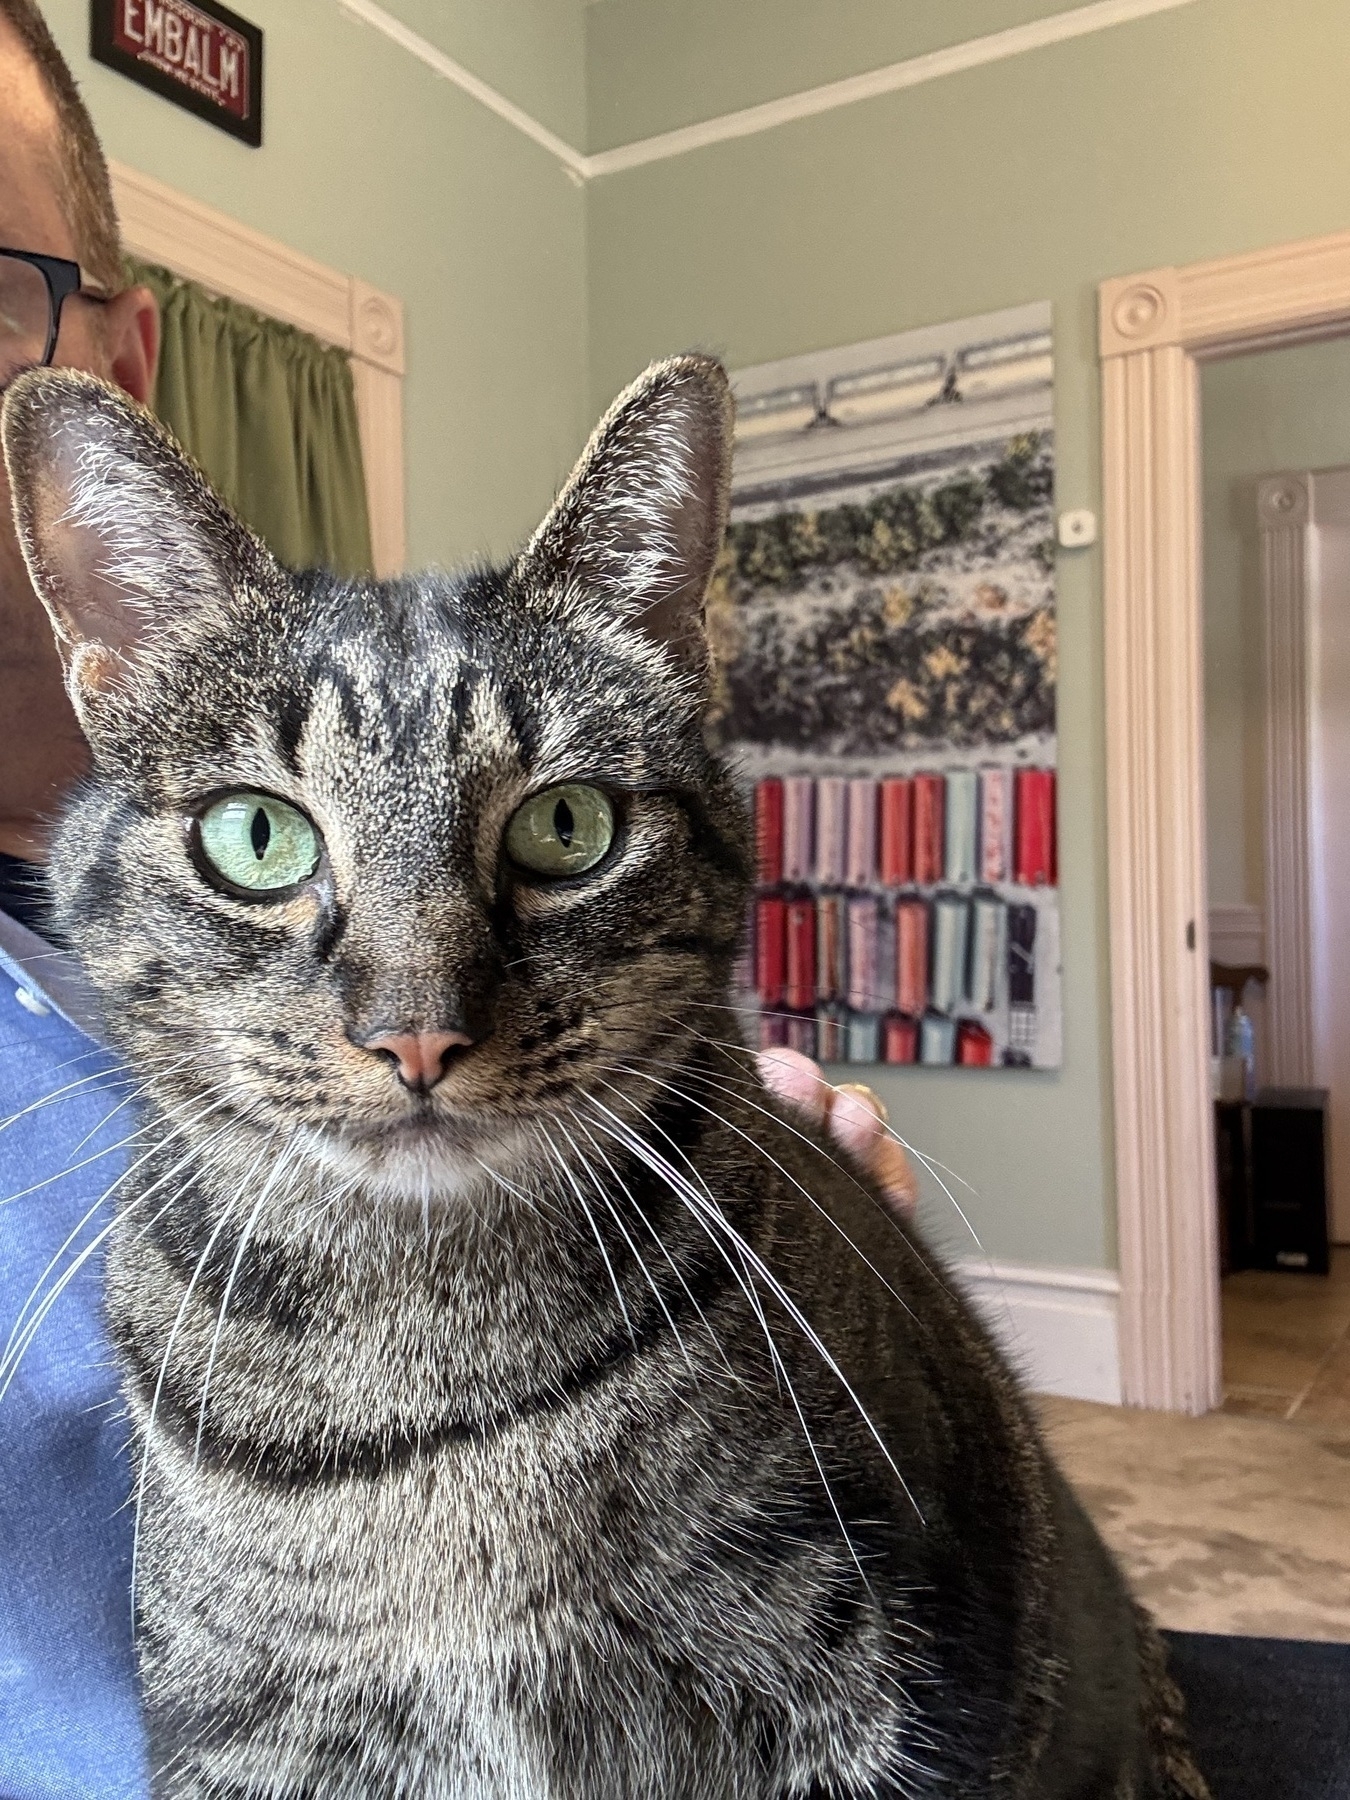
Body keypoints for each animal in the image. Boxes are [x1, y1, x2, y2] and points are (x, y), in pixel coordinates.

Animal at [0, 354, 1202, 1800]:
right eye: (256, 836)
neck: (422, 1378)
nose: (416, 1032)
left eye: (566, 826)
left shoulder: (888, 1696)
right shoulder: (251, 1735)